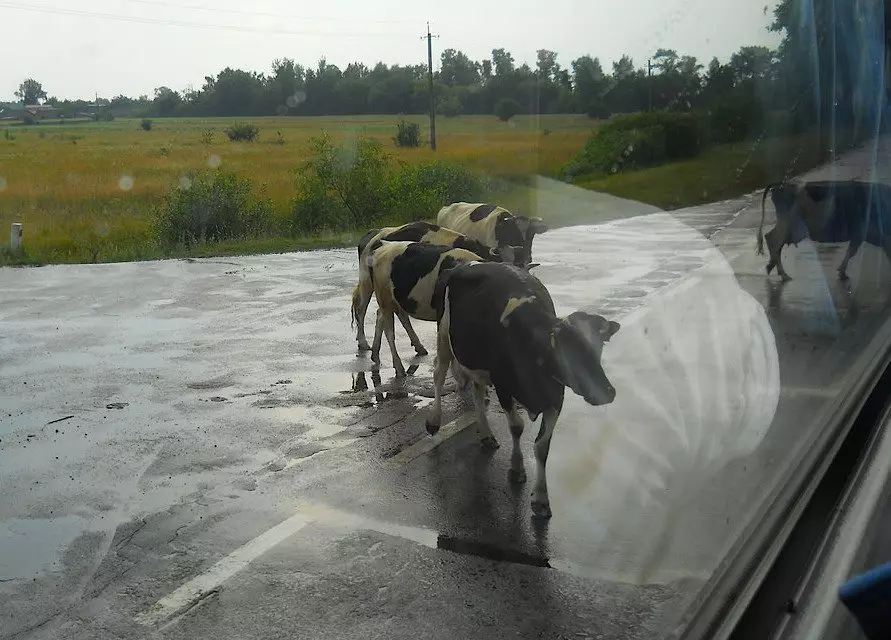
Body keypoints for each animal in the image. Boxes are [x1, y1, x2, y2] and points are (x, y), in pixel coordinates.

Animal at [348, 219, 516, 350]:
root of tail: (376, 234)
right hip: (367, 281)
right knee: (361, 307)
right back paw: (363, 342)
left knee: (396, 313)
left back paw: (417, 345)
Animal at [368, 242, 484, 378]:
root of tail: (384, 246)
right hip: (384, 296)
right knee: (389, 331)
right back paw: (399, 369)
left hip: (390, 300)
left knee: (384, 316)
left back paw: (377, 354)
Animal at [426, 262, 620, 516]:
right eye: (568, 350)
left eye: (600, 346)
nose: (606, 391)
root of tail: (465, 263)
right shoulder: (503, 386)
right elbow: (516, 427)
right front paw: (517, 468)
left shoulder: (556, 396)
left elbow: (542, 447)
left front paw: (541, 499)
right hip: (444, 335)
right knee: (439, 373)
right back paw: (434, 421)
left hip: (476, 360)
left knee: (477, 392)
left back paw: (486, 434)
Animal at [756, 180, 891, 280]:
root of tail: (782, 185)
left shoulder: (858, 236)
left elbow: (851, 251)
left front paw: (842, 273)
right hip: (790, 223)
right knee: (772, 239)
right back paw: (784, 275)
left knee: (772, 239)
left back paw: (772, 268)